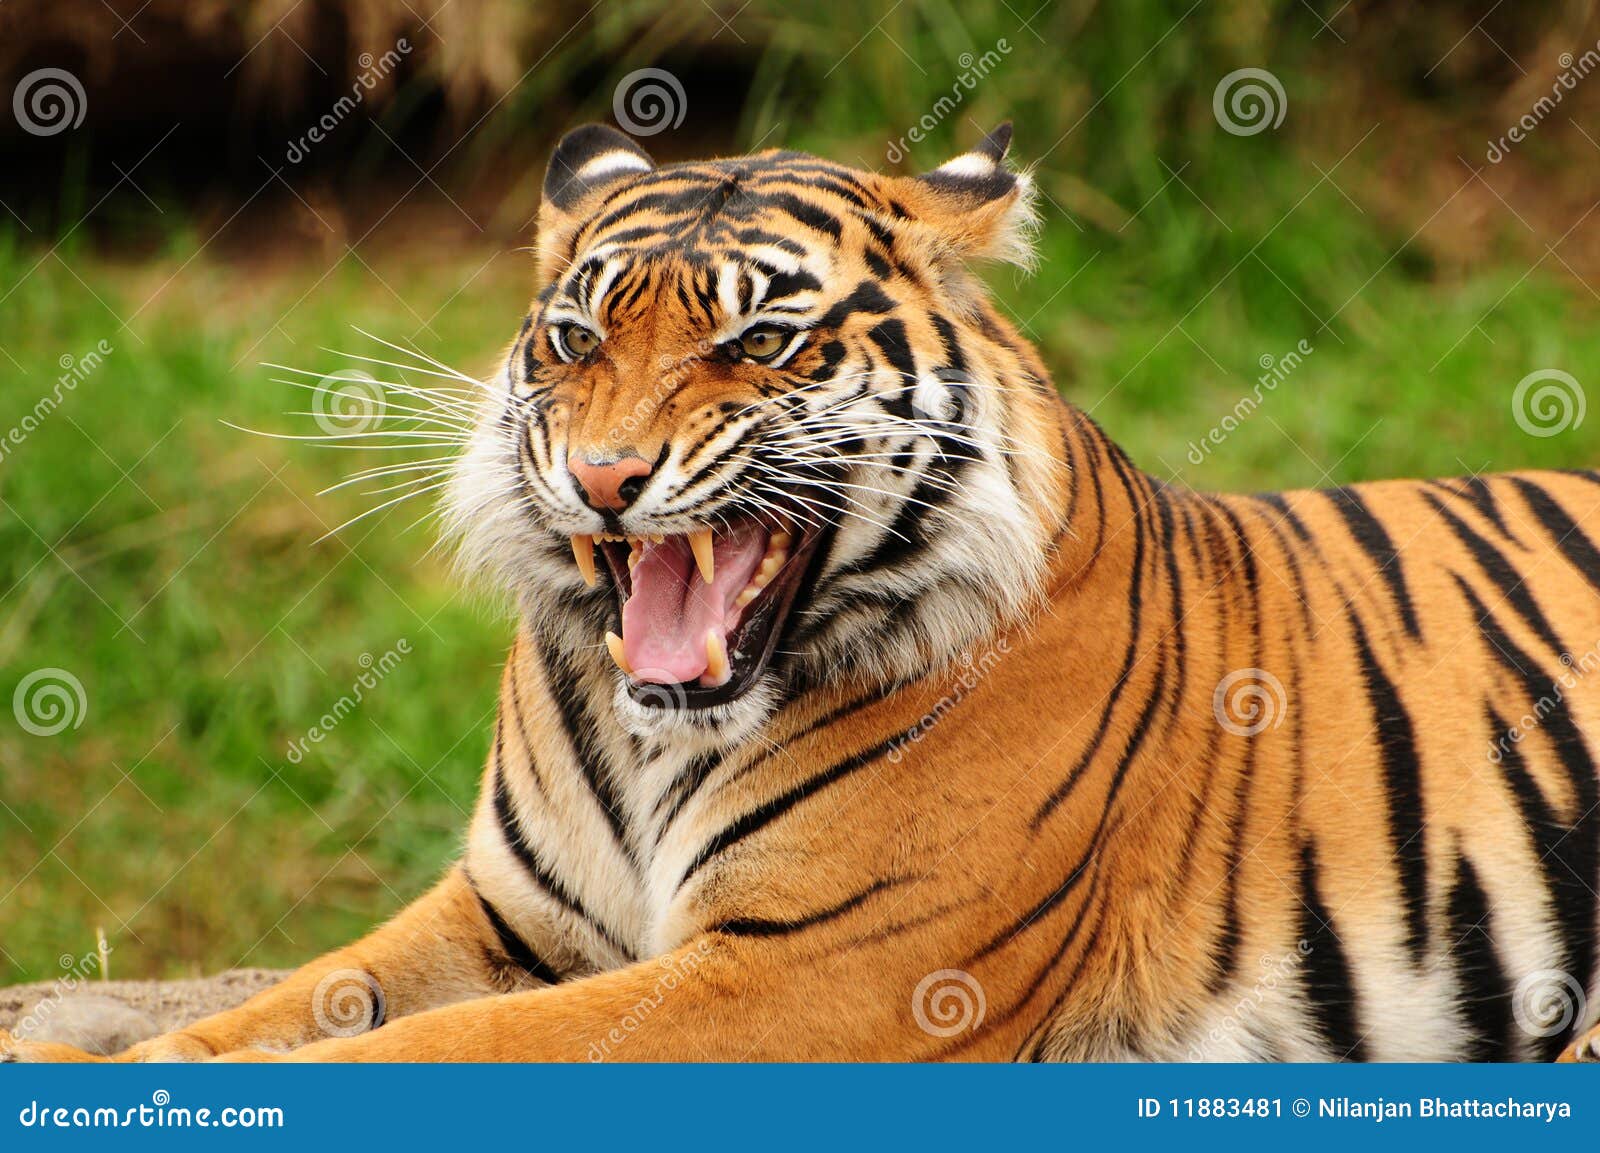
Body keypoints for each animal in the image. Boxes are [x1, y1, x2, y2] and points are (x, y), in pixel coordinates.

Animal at [5, 122, 1599, 1064]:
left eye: (759, 342)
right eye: (576, 338)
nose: (603, 477)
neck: (651, 736)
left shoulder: (814, 975)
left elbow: (409, 1057)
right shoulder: (509, 919)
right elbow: (303, 997)